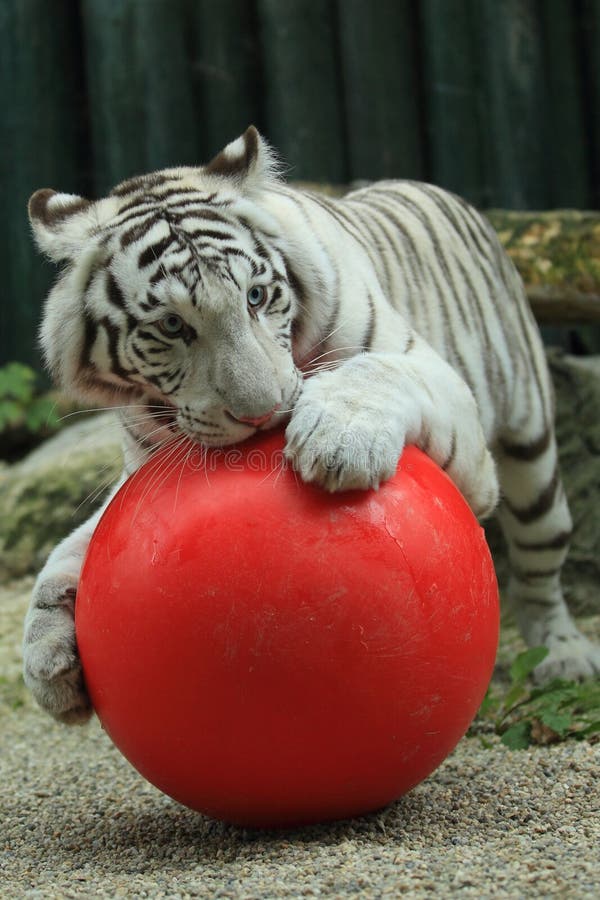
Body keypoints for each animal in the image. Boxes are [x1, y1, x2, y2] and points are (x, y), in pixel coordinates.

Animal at [23, 125, 599, 724]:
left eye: (256, 296)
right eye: (172, 326)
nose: (262, 411)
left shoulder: (444, 389)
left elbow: (375, 369)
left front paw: (339, 441)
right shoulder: (138, 469)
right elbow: (72, 547)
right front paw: (47, 659)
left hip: (532, 452)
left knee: (540, 563)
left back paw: (563, 655)